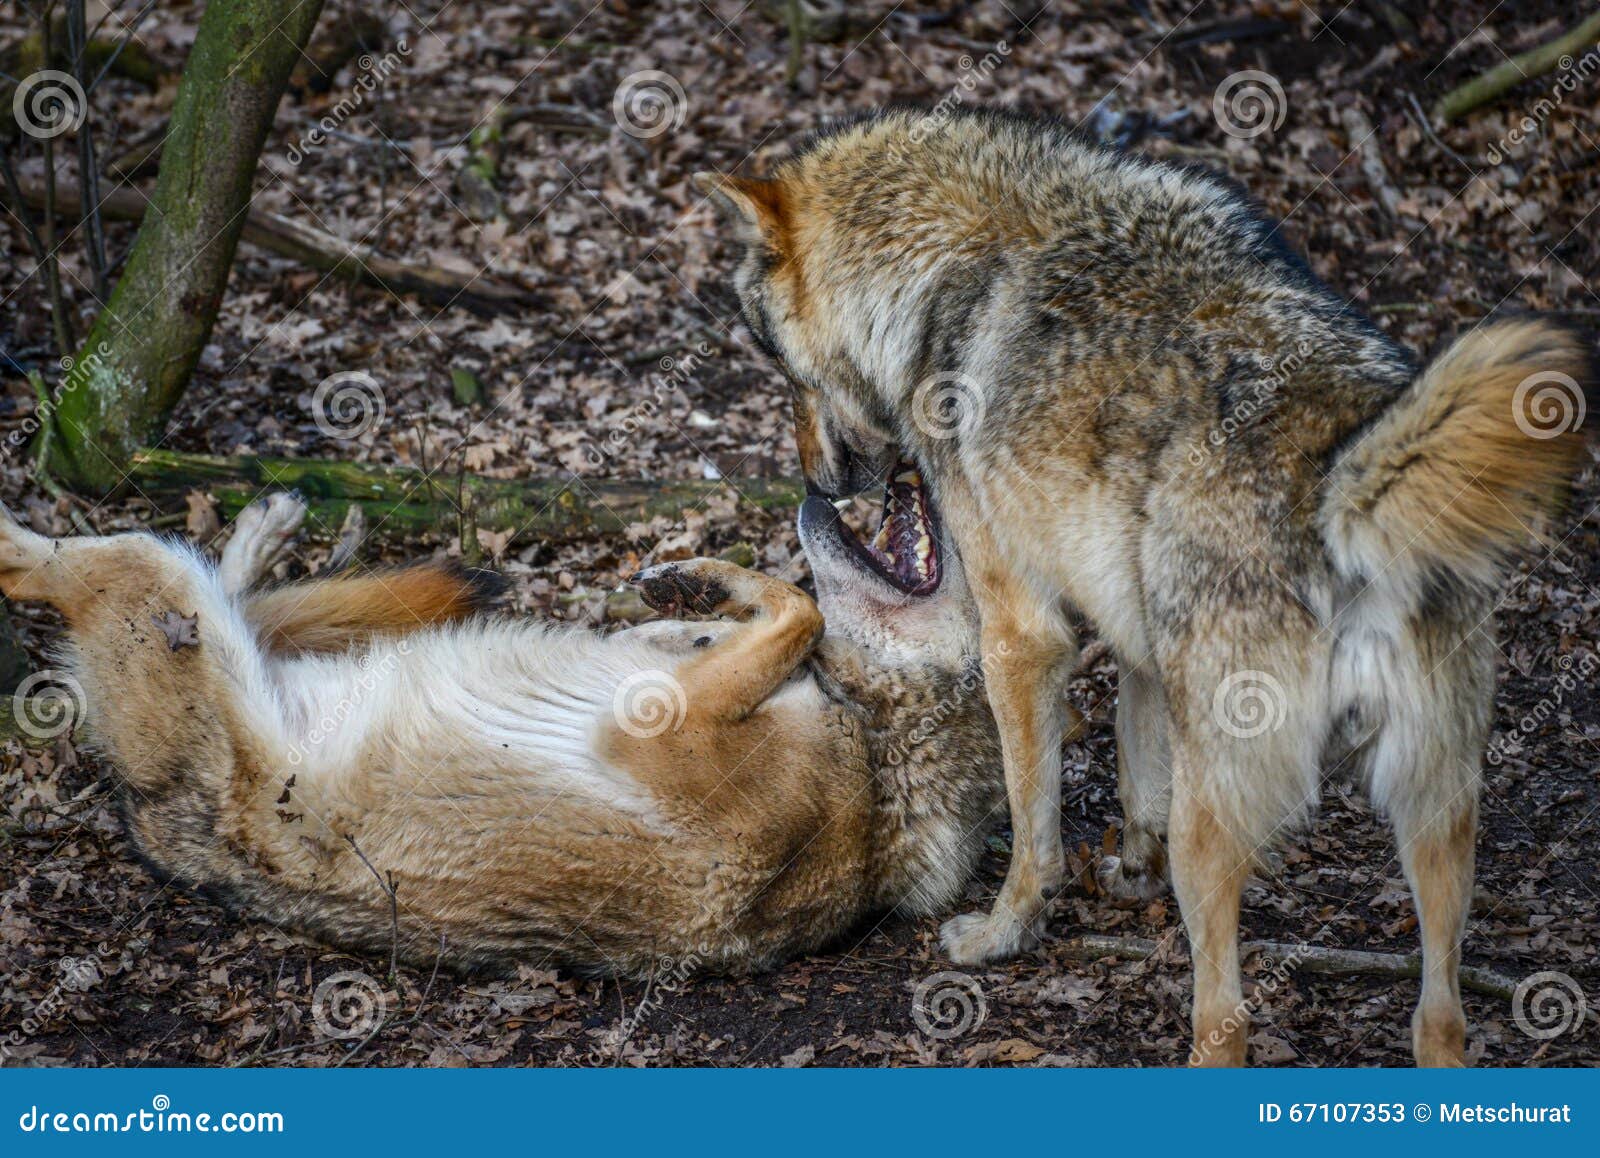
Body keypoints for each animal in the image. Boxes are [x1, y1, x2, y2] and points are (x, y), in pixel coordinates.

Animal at [0, 483, 1019, 978]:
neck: (879, 752)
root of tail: (142, 818)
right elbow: (773, 605)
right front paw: (695, 581)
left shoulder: (652, 735)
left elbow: (800, 609)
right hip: (223, 614)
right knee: (241, 586)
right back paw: (272, 521)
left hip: (158, 590)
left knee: (61, 564)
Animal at [696, 106, 1593, 1064]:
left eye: (777, 365)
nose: (817, 483)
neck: (948, 262)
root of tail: (1340, 482)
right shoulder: (1139, 638)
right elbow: (1134, 770)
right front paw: (1131, 872)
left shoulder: (1020, 636)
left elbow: (1033, 821)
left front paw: (1004, 931)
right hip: (1438, 809)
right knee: (1440, 1016)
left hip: (1231, 820)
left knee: (1228, 1019)